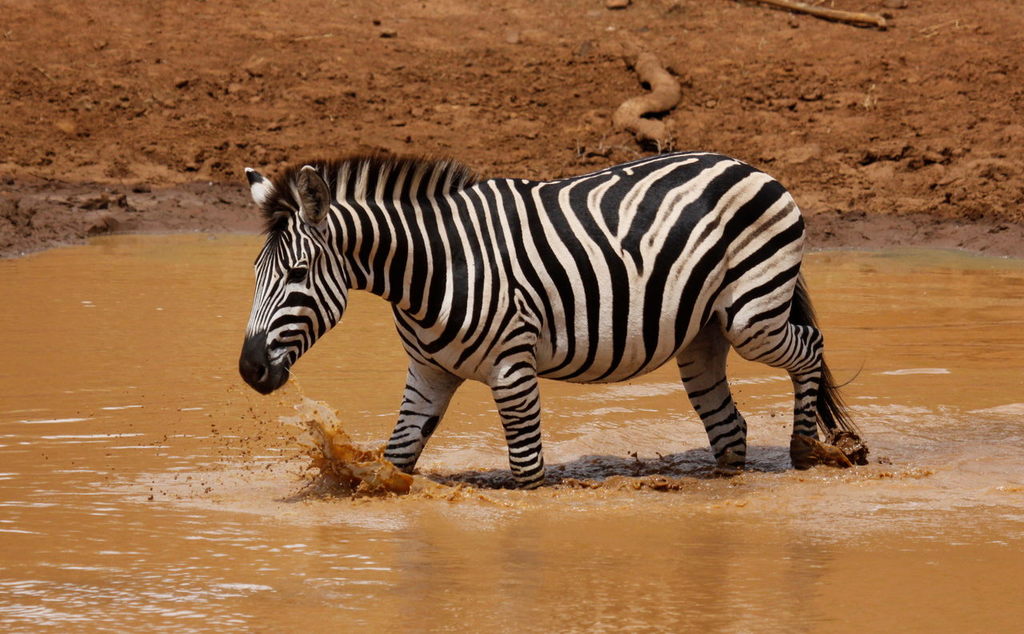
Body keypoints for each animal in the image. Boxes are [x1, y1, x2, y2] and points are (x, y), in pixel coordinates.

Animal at [238, 152, 866, 488]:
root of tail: (749, 166)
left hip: (752, 315)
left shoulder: (513, 372)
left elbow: (527, 474)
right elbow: (397, 460)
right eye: (256, 272)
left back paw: (807, 451)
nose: (249, 371)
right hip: (701, 334)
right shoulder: (429, 373)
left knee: (811, 345)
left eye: (297, 273)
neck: (436, 265)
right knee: (730, 426)